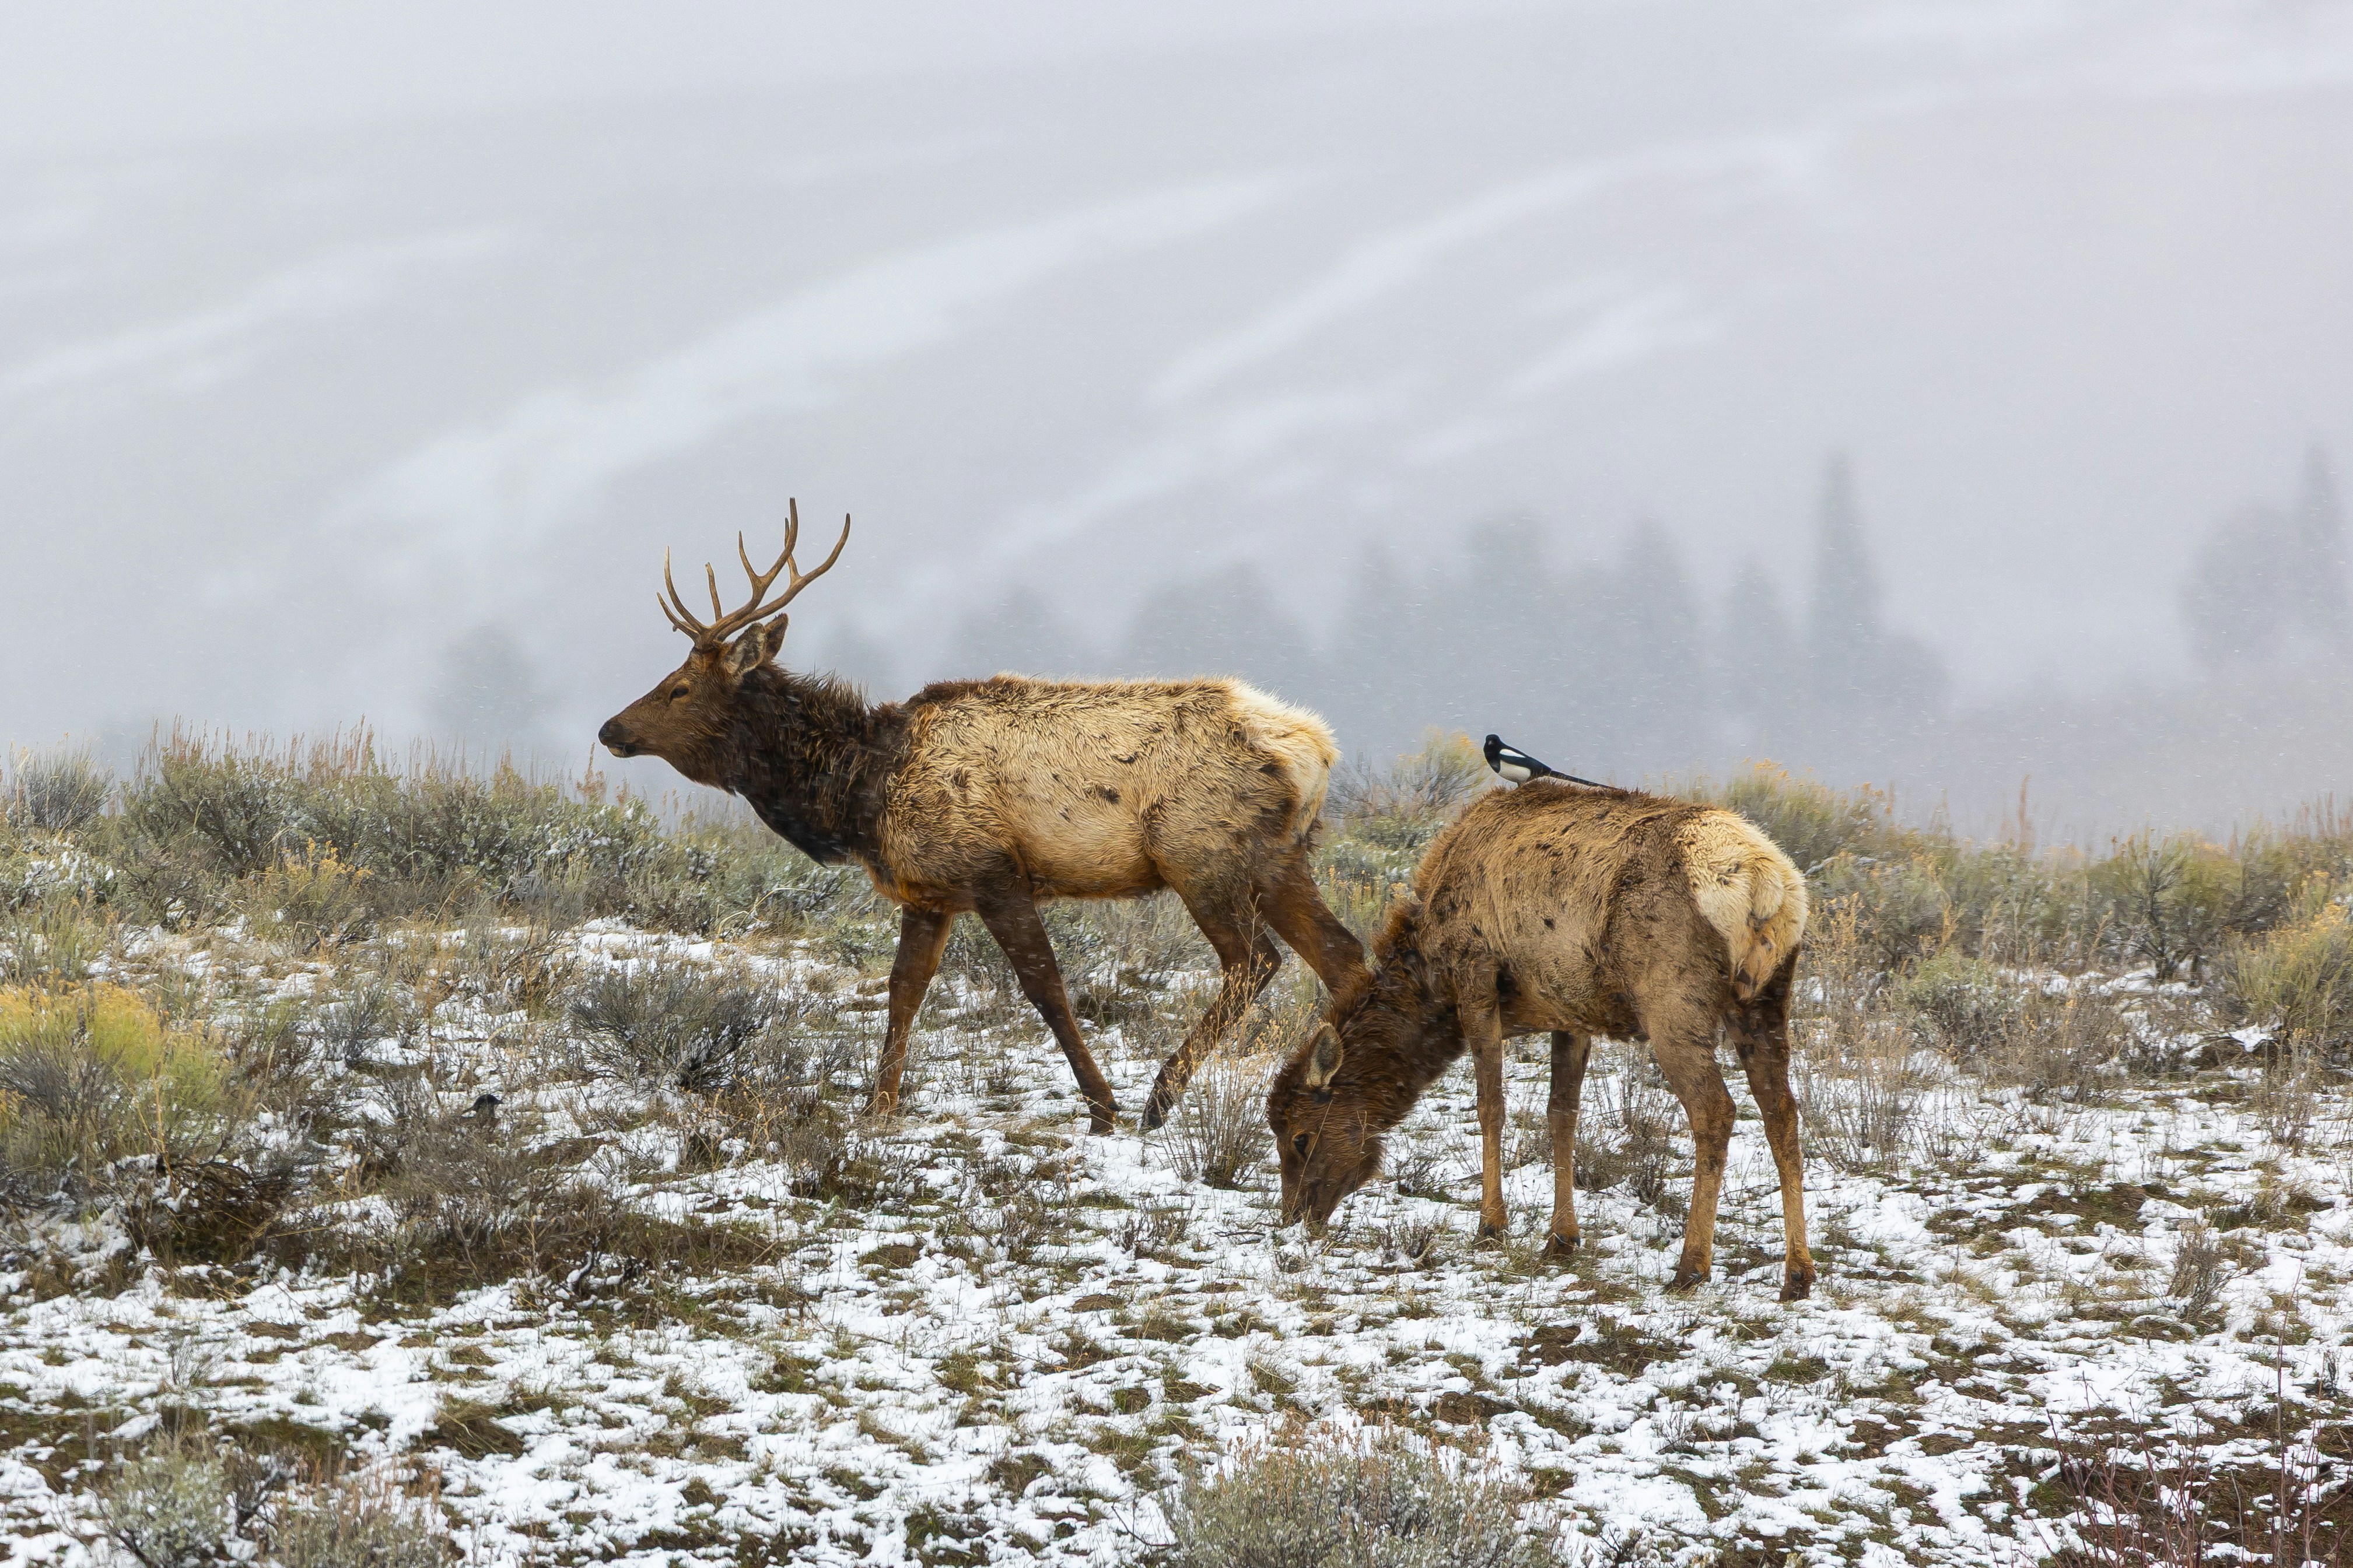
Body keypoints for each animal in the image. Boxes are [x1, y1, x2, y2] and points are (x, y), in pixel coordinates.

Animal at [597, 502, 1370, 1135]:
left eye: (679, 687)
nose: (610, 728)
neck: (861, 793)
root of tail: (1314, 751)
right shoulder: (928, 892)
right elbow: (903, 992)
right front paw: (877, 1108)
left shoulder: (993, 871)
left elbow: (1044, 987)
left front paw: (1101, 1106)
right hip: (1278, 857)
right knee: (1342, 954)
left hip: (1200, 852)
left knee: (1254, 960)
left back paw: (1160, 1096)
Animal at [1265, 779, 1815, 1299]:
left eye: (1300, 1136)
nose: (1295, 1216)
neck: (1430, 978)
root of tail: (1768, 885)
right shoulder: (1569, 1011)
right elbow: (1562, 1115)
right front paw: (1561, 1238)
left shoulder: (1477, 975)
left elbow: (1491, 1105)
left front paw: (1491, 1226)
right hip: (1766, 1000)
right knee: (1782, 1111)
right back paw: (1797, 1274)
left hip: (1671, 999)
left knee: (1715, 1110)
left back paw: (1691, 1267)